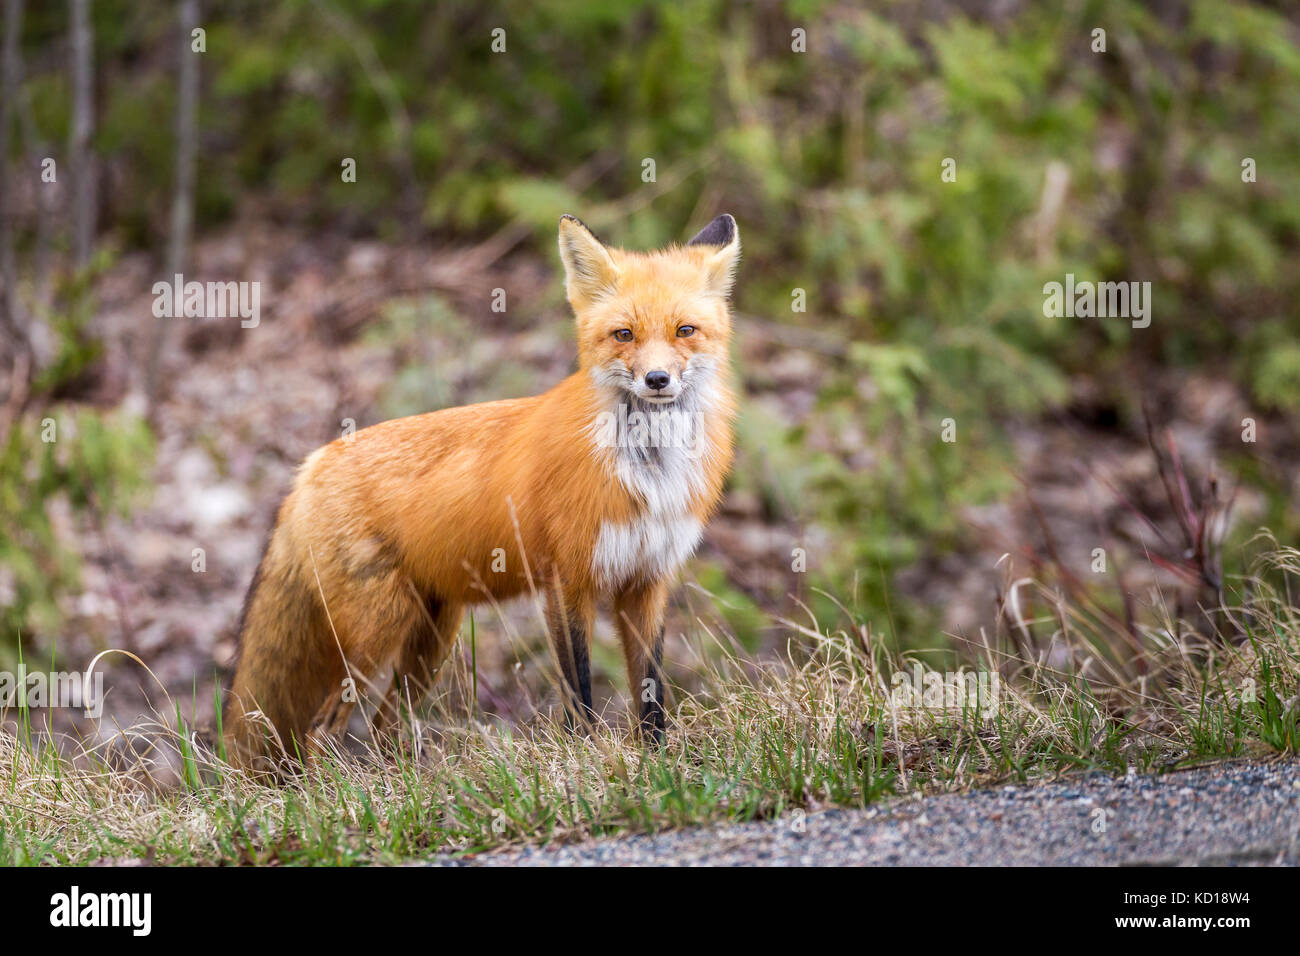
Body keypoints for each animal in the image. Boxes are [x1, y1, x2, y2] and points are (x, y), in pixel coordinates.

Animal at [224, 213, 740, 768]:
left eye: (685, 330)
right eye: (624, 334)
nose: (657, 378)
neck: (648, 470)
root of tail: (310, 466)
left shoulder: (647, 581)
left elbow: (651, 693)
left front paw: (659, 763)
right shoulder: (566, 583)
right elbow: (579, 692)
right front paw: (585, 759)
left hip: (431, 640)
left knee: (384, 726)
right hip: (377, 634)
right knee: (320, 731)